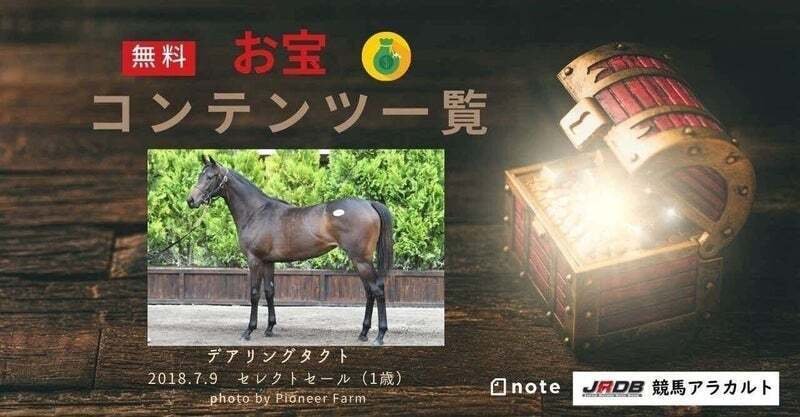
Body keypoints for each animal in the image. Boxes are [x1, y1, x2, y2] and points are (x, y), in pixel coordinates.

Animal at [186, 155, 393, 345]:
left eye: (210, 177)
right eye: (200, 175)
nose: (191, 200)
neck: (256, 212)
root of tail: (369, 204)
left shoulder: (255, 260)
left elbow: (254, 294)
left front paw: (248, 331)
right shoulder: (268, 262)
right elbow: (269, 291)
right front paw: (269, 328)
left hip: (361, 260)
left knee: (378, 289)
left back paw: (380, 336)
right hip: (359, 260)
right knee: (369, 292)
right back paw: (363, 333)